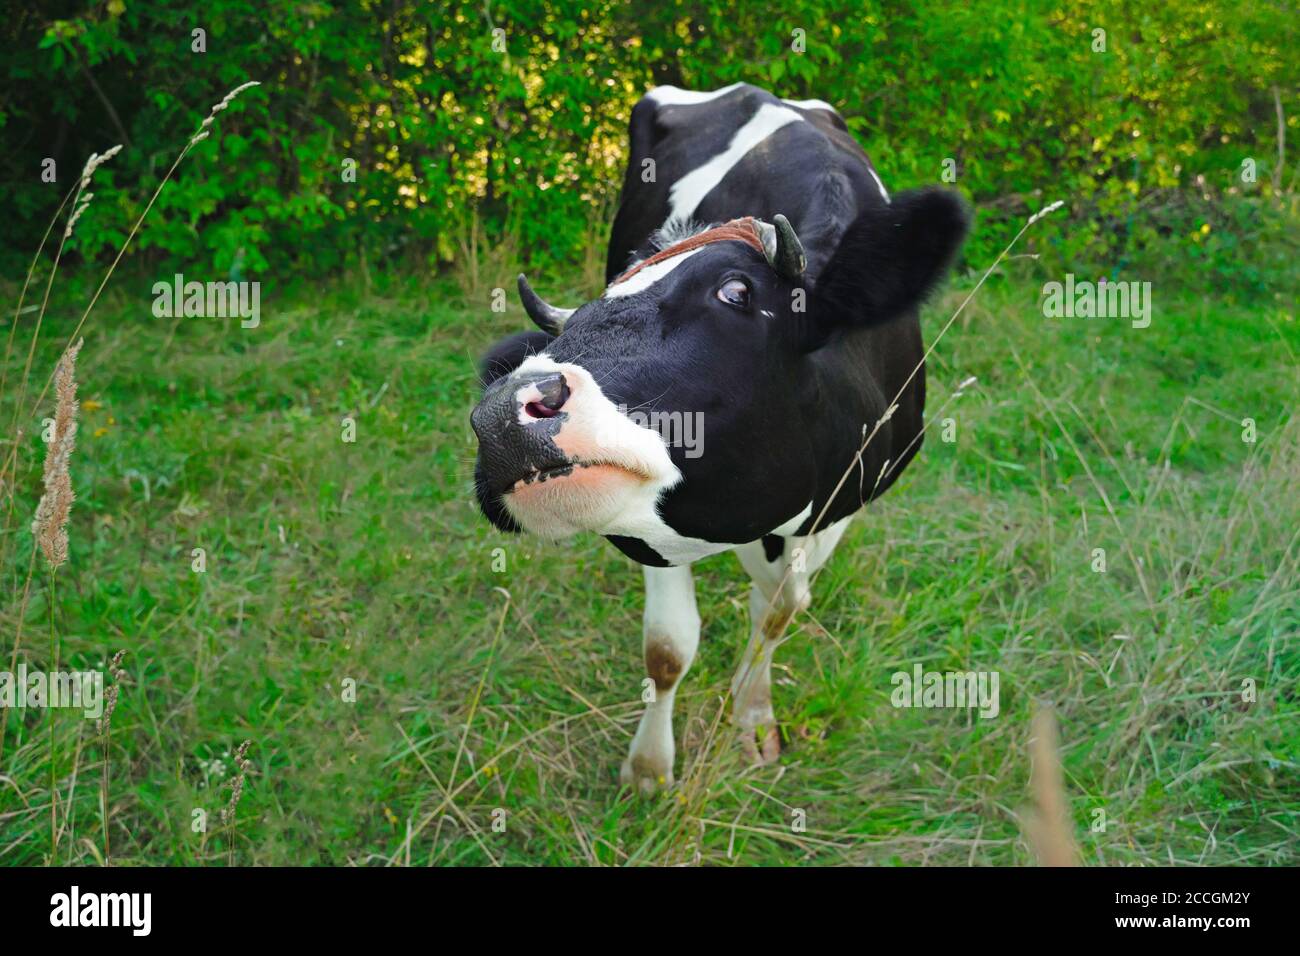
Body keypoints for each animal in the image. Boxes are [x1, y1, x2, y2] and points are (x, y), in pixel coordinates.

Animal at [470, 82, 970, 794]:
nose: (503, 416)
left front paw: (754, 721)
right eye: (587, 313)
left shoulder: (842, 504)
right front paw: (650, 769)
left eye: (735, 291)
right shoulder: (649, 528)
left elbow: (781, 610)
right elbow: (668, 648)